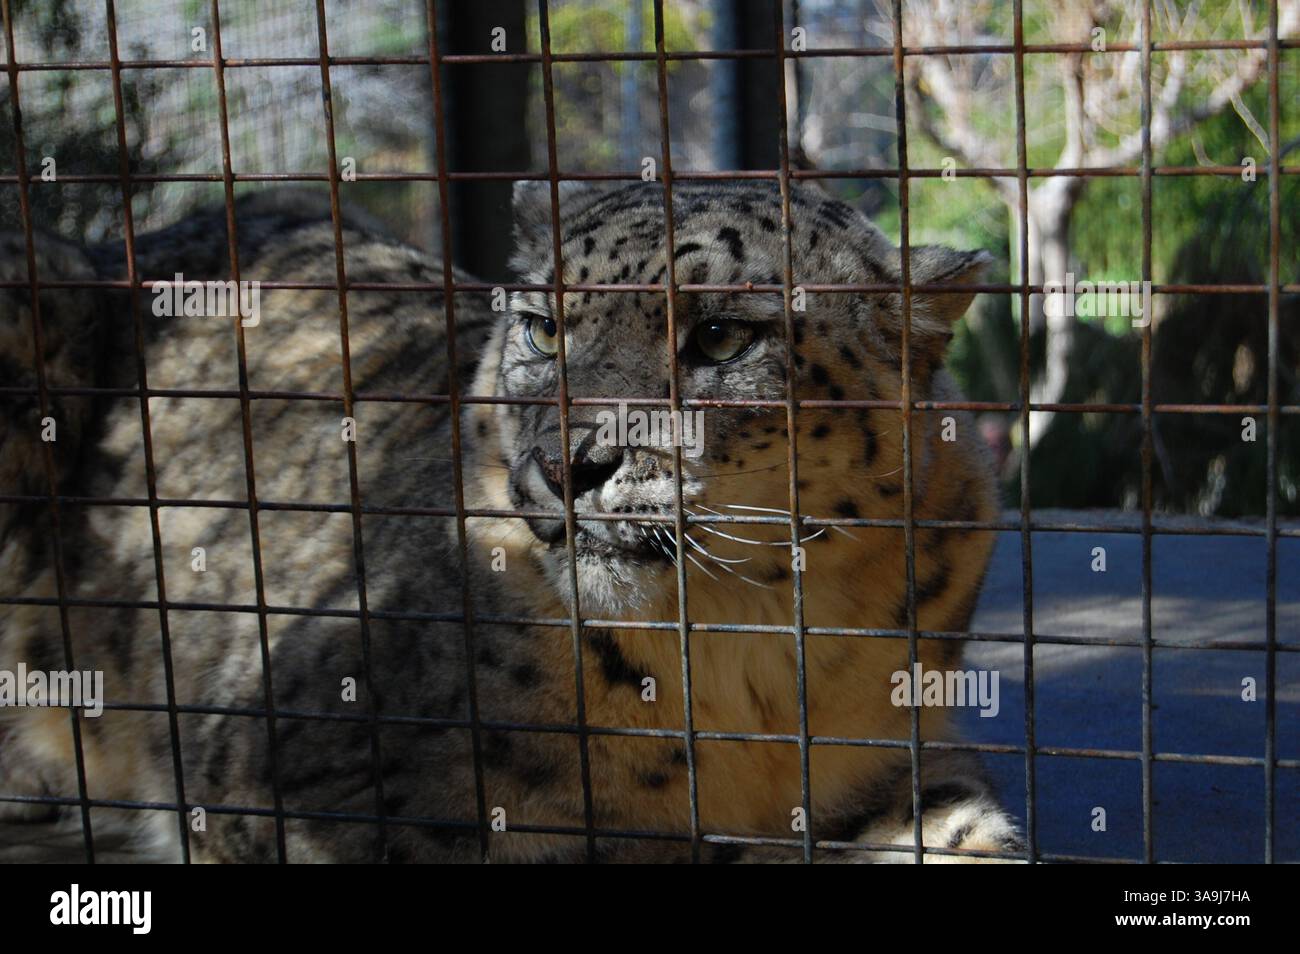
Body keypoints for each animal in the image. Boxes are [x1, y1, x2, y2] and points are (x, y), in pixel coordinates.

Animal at [0, 180, 1022, 862]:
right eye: (543, 327)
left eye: (723, 336)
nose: (569, 465)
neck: (749, 654)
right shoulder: (277, 776)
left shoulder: (903, 752)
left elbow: (965, 828)